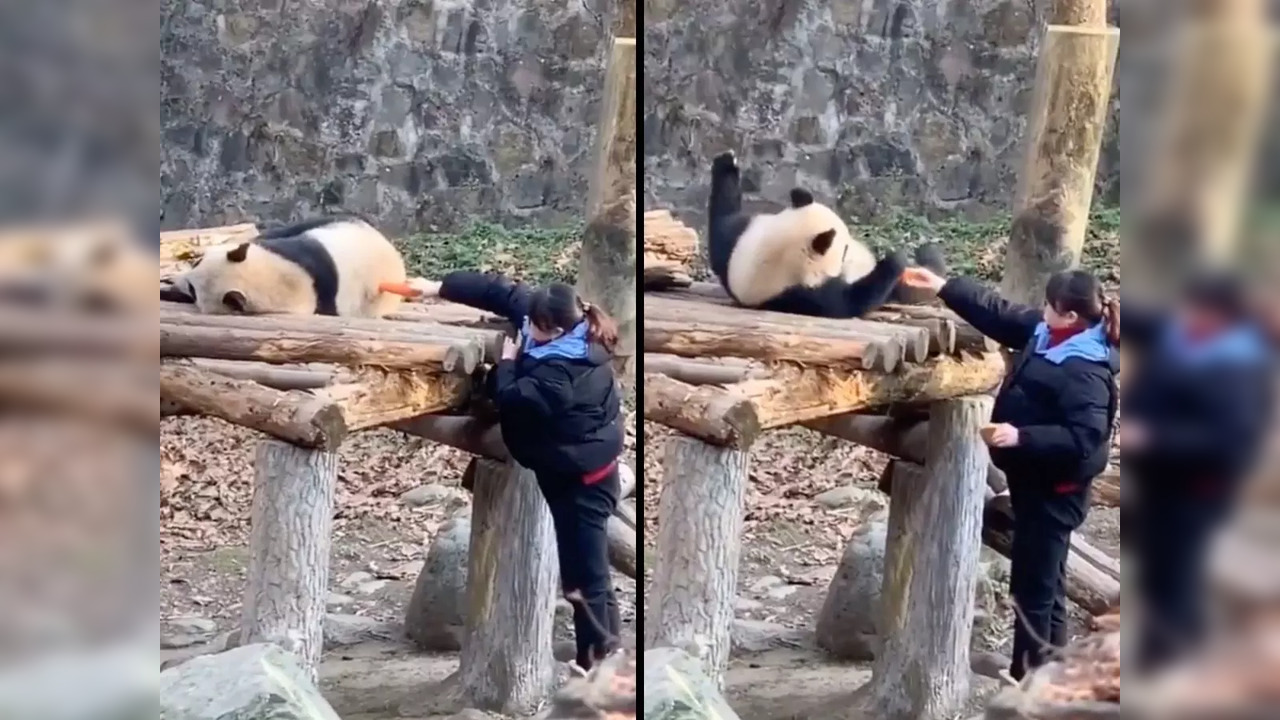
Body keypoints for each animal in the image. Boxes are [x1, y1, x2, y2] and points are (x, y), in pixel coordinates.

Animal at [707, 151, 946, 318]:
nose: (862, 252)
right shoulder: (803, 296)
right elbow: (849, 302)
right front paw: (895, 260)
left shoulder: (737, 240)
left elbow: (722, 222)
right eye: (844, 250)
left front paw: (727, 163)